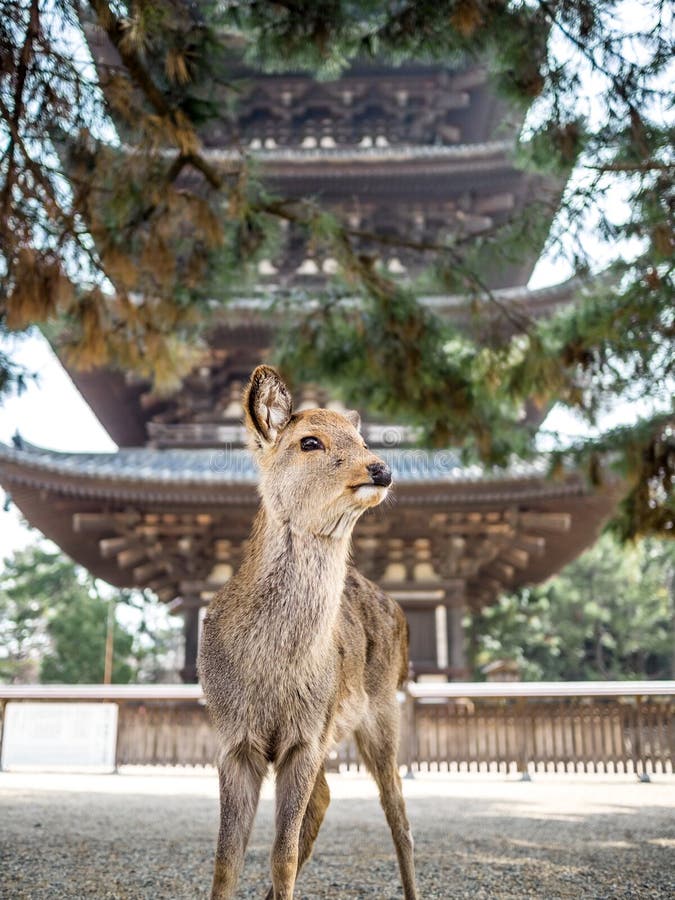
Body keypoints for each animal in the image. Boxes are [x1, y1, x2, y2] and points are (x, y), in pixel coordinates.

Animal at [198, 365, 418, 900]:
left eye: (363, 440)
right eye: (310, 441)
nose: (380, 469)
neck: (271, 674)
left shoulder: (306, 737)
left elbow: (282, 855)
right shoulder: (233, 737)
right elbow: (226, 860)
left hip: (382, 711)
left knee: (398, 816)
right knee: (325, 800)